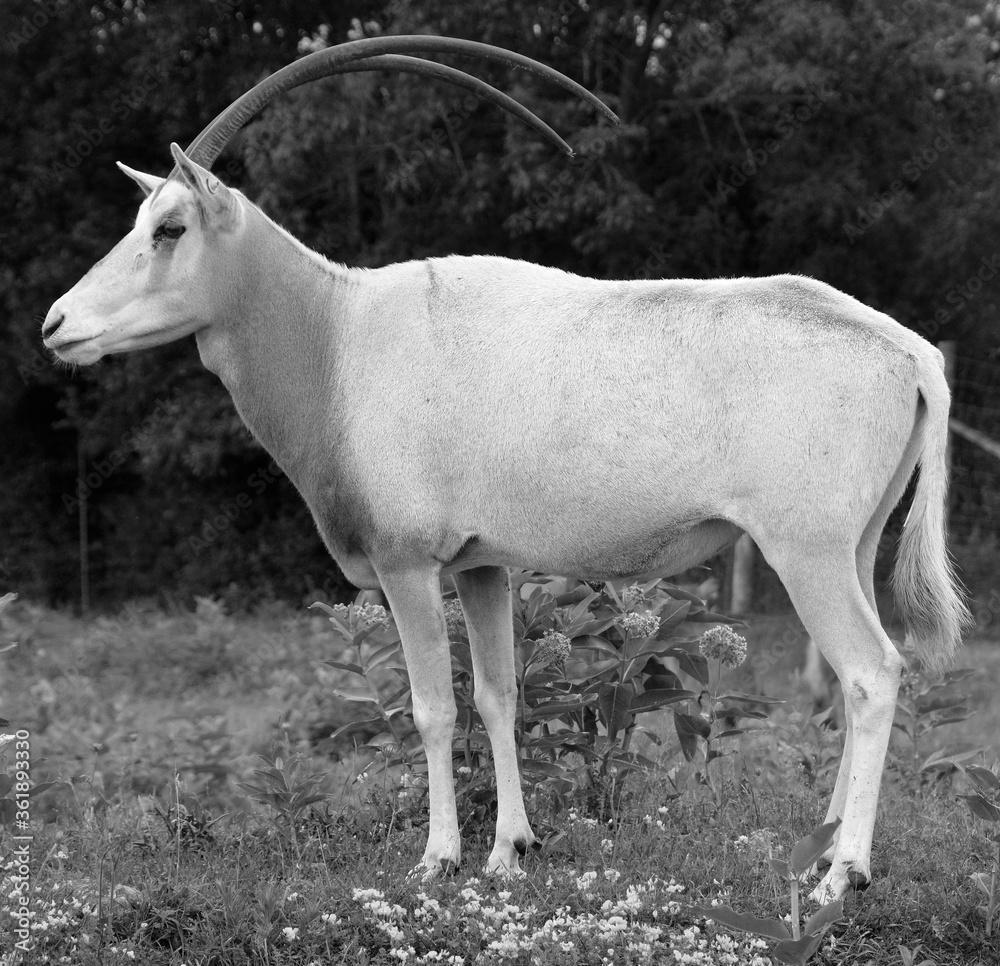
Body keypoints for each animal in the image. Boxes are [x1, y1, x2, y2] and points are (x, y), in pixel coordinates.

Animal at [43, 34, 971, 905]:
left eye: (169, 228)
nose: (56, 325)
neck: (336, 329)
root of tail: (910, 351)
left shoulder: (407, 565)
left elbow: (433, 706)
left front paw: (438, 859)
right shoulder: (482, 568)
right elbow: (498, 695)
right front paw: (509, 851)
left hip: (806, 552)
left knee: (871, 673)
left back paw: (842, 875)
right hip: (853, 548)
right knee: (847, 683)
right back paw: (820, 851)